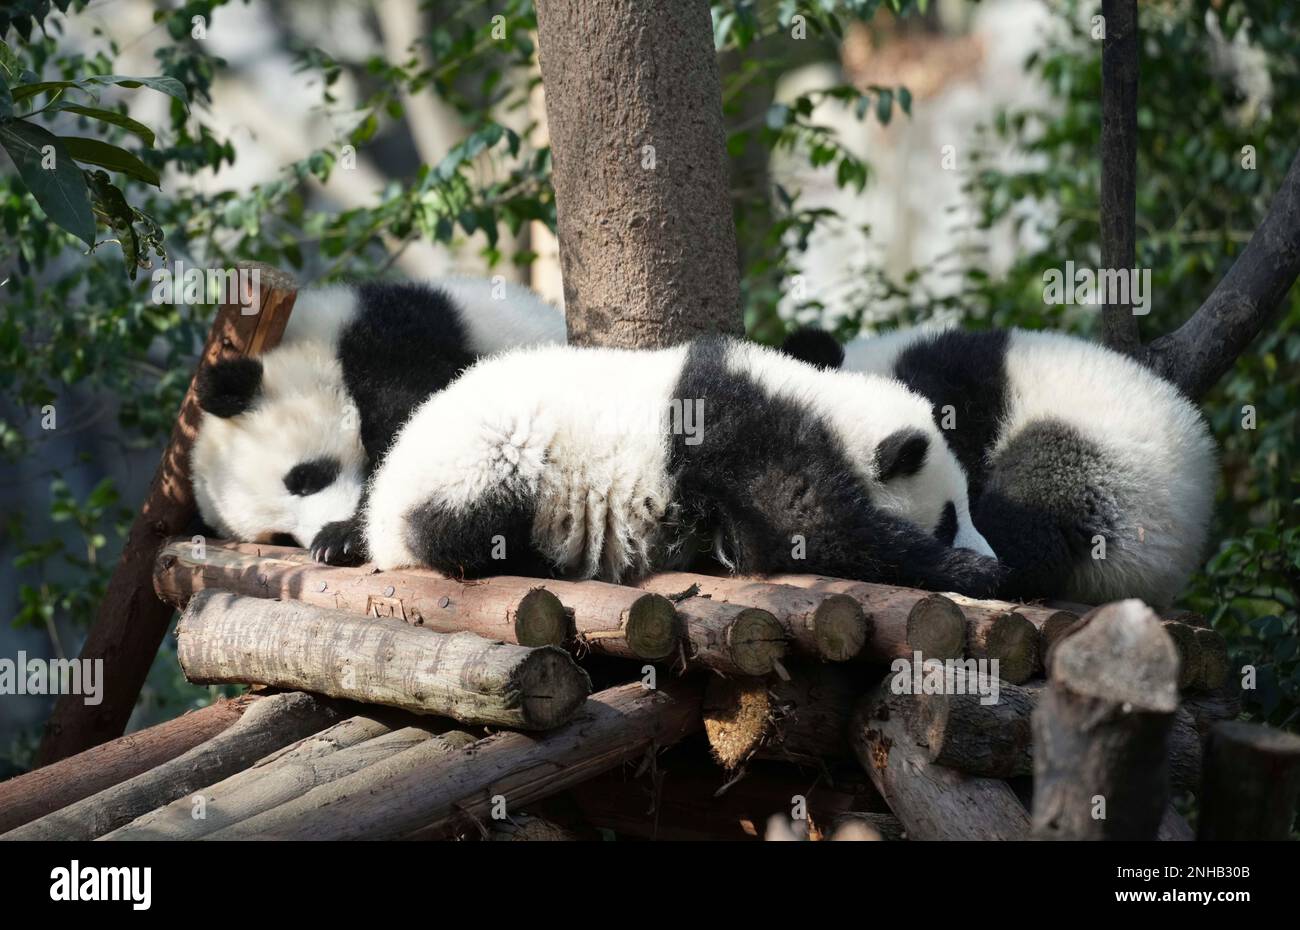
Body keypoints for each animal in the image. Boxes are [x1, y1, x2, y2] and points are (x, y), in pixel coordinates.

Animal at [190, 277, 565, 563]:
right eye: (281, 537)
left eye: (305, 479)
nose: (325, 530)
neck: (315, 351)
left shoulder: (390, 347)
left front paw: (342, 538)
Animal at [363, 336, 1004, 597]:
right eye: (951, 518)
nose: (987, 549)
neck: (828, 409)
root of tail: (379, 525)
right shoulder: (743, 435)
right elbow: (817, 531)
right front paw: (976, 573)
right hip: (489, 455)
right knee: (472, 522)